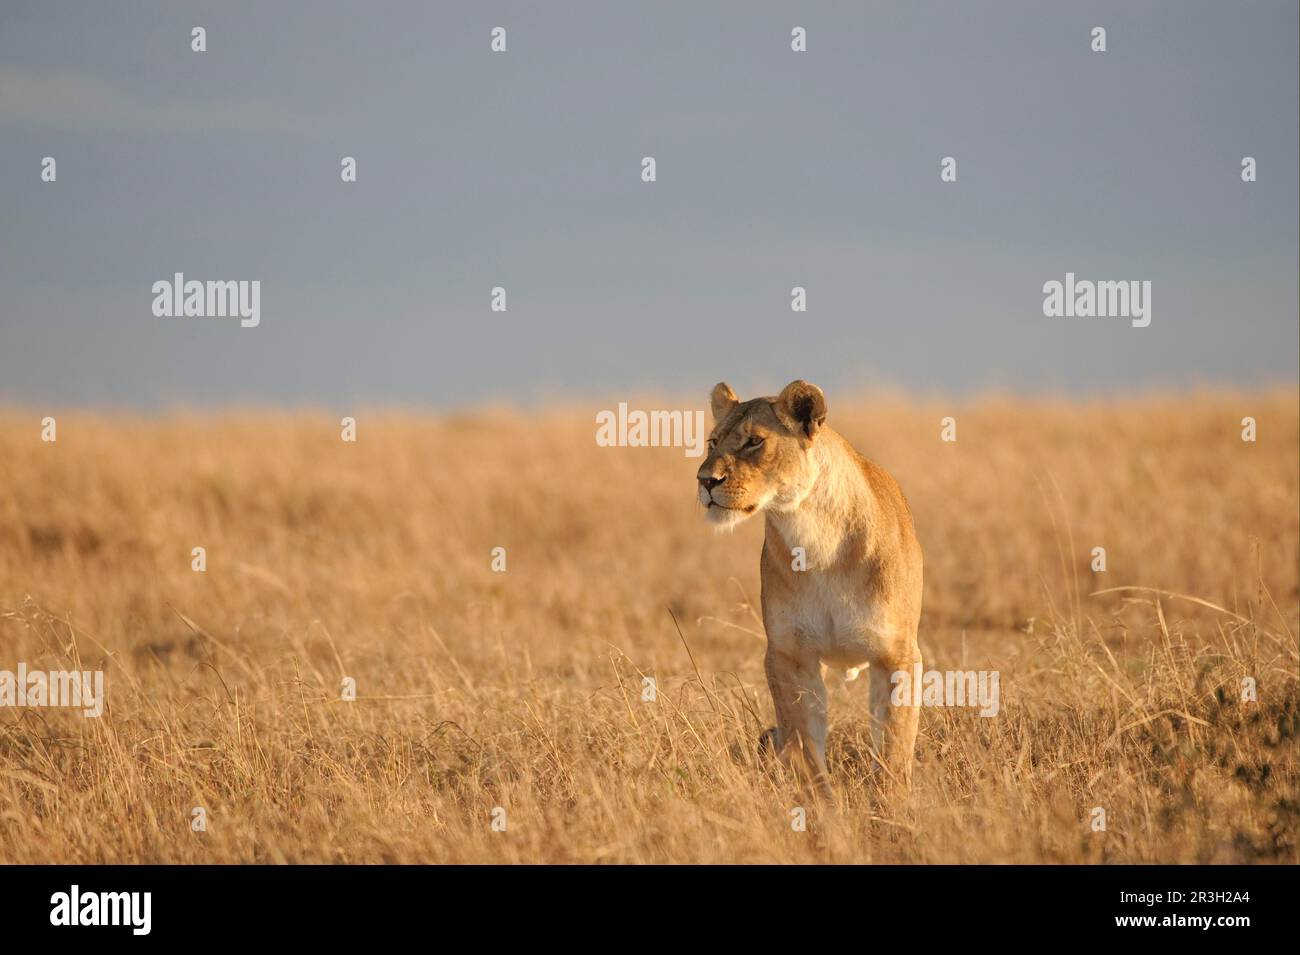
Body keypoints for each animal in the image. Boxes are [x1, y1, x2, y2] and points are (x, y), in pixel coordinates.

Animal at [696, 380, 924, 797]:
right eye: (713, 442)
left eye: (754, 441)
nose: (705, 481)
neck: (813, 536)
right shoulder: (789, 654)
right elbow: (803, 744)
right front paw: (821, 805)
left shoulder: (897, 654)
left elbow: (894, 747)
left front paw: (890, 808)